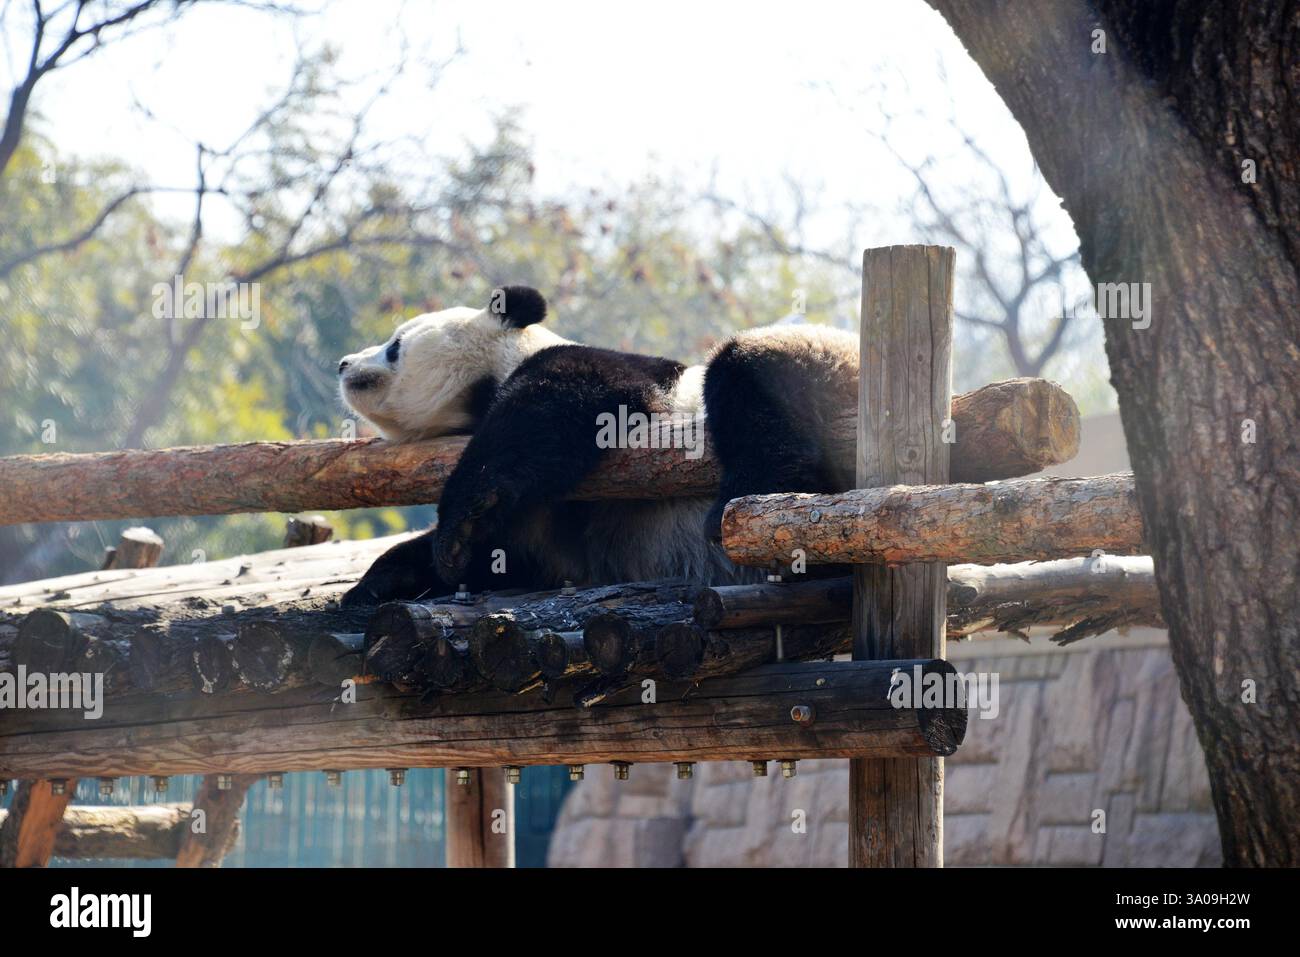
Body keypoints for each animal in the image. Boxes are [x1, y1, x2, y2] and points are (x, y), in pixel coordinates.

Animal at [337, 285, 858, 606]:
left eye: (394, 346)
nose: (343, 364)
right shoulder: (534, 534)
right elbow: (501, 559)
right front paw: (381, 582)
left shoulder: (621, 374)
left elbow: (558, 405)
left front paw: (458, 525)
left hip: (828, 365)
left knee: (746, 366)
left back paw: (743, 501)